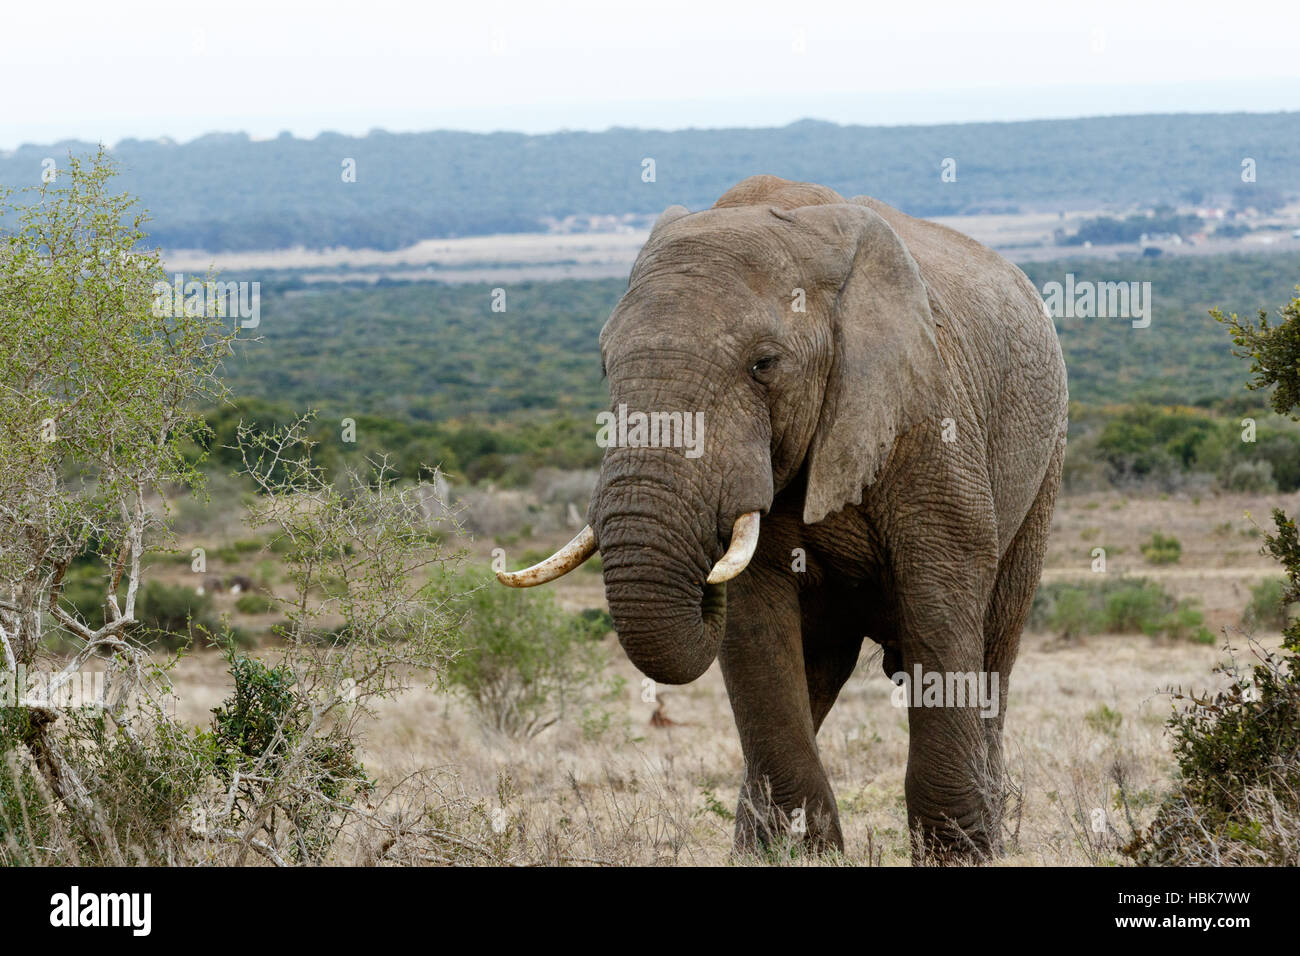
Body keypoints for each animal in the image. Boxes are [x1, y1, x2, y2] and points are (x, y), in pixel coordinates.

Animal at [498, 175, 1068, 862]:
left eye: (763, 364)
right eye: (604, 365)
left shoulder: (930, 415)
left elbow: (939, 598)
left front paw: (955, 853)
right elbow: (756, 627)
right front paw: (794, 855)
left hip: (1045, 463)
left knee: (996, 643)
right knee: (818, 669)